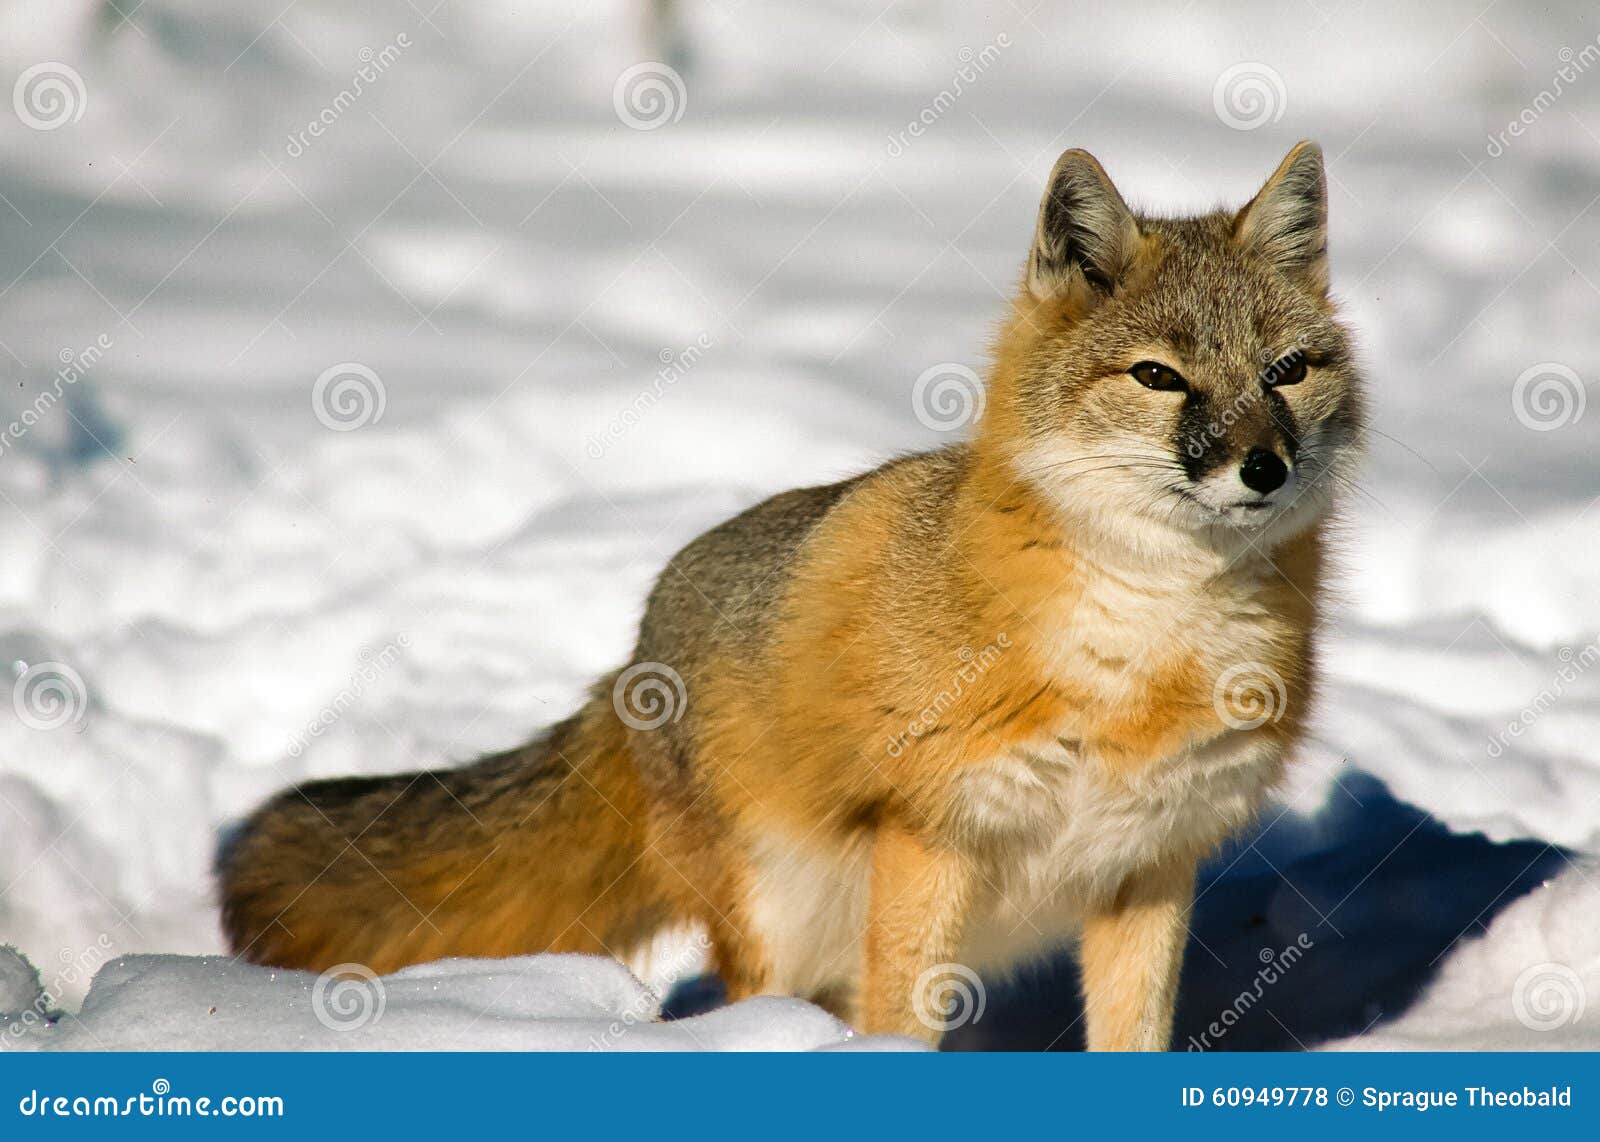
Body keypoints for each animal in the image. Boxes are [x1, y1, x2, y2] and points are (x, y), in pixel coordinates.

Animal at [220, 140, 1364, 1050]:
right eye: (1158, 377)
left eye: (1288, 370)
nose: (1262, 467)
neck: (1141, 649)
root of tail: (631, 659)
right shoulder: (930, 835)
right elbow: (903, 1024)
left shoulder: (1151, 864)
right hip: (782, 924)